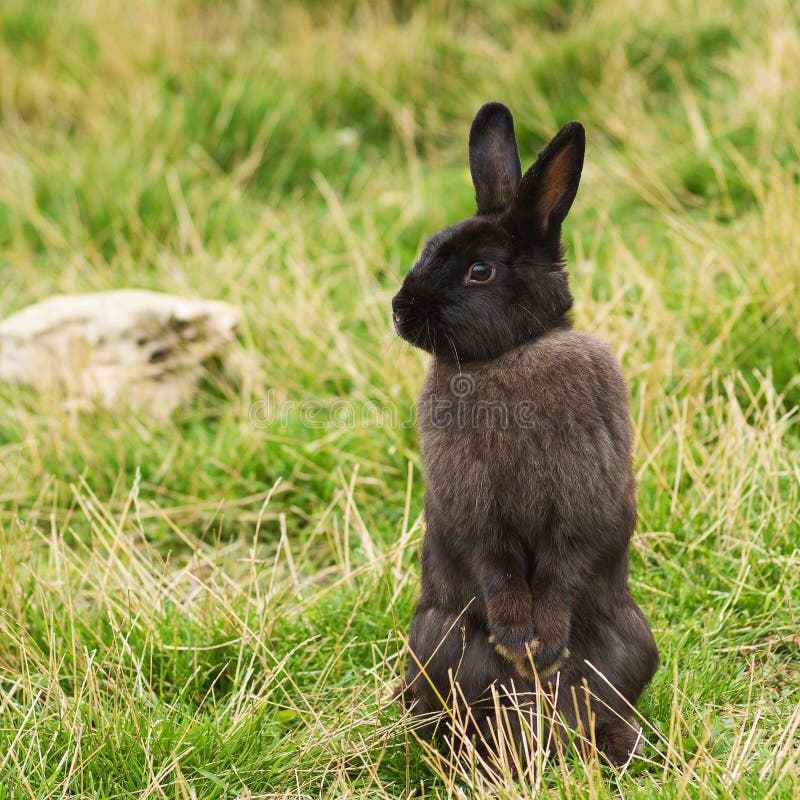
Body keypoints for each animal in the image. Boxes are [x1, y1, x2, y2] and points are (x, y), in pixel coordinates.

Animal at [392, 103, 658, 773]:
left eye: (480, 270)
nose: (399, 312)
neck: (511, 352)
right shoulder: (470, 505)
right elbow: (493, 560)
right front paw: (519, 640)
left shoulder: (586, 496)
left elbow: (565, 562)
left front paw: (543, 644)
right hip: (435, 644)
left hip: (631, 641)